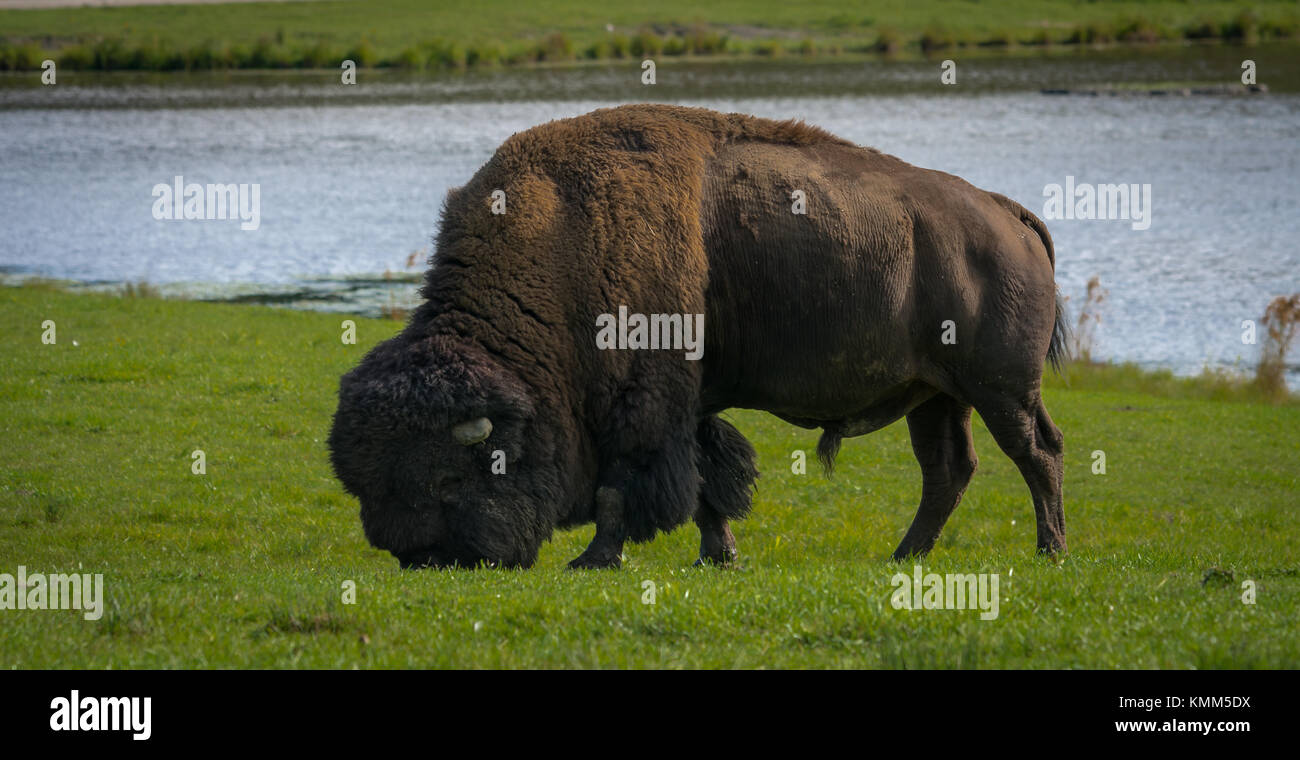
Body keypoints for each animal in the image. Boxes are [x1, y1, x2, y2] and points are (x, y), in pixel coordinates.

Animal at [328, 104, 1068, 569]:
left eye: (449, 477)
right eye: (365, 485)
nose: (427, 559)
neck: (561, 242)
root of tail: (1006, 212)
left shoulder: (642, 405)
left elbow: (626, 484)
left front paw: (593, 560)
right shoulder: (690, 403)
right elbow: (708, 481)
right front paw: (719, 556)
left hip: (1000, 389)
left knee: (1036, 454)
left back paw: (1050, 551)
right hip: (937, 395)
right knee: (949, 470)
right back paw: (905, 554)